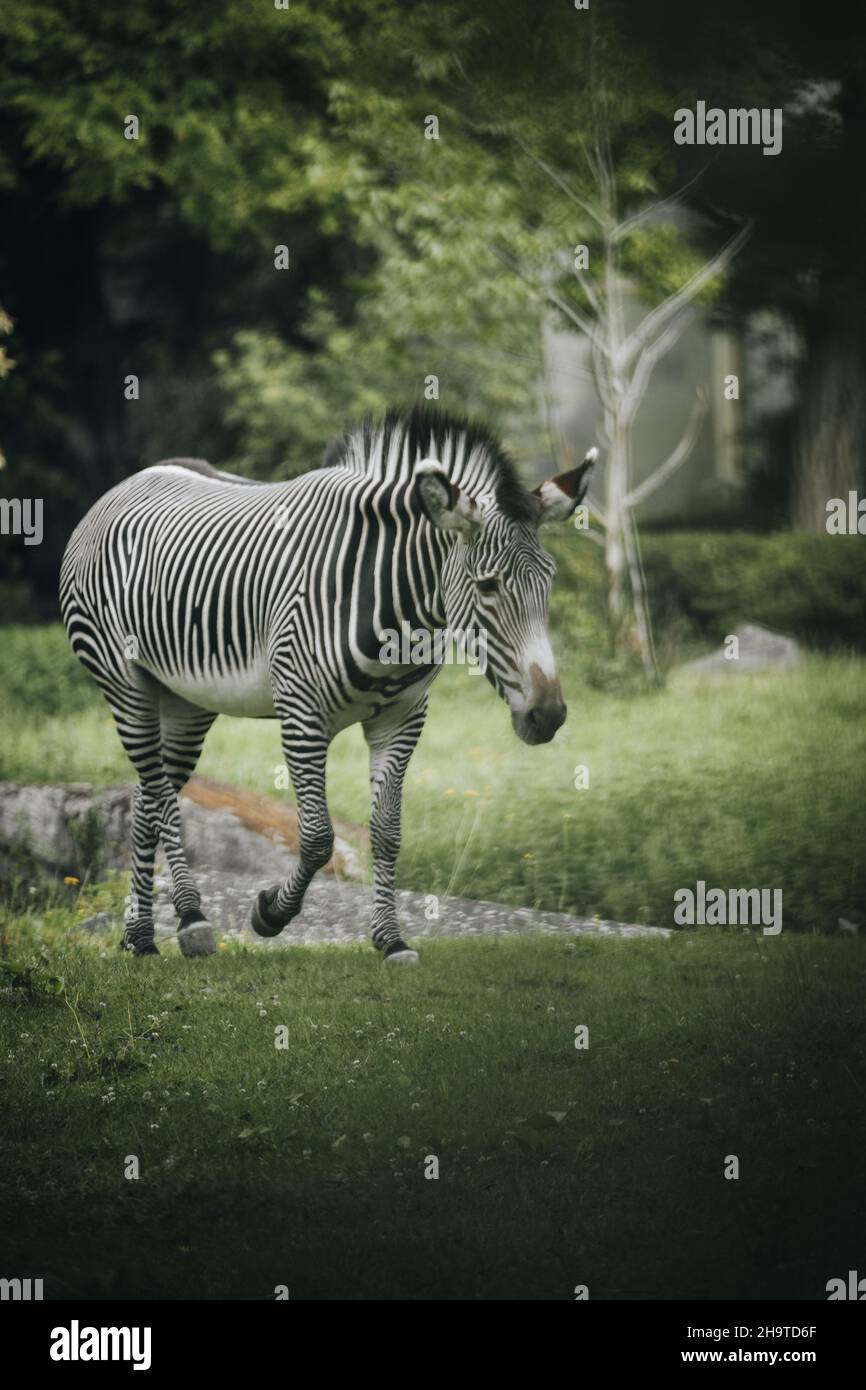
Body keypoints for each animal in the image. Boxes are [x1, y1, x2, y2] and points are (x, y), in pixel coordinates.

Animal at [60, 407, 596, 963]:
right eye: (488, 586)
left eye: (550, 580)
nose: (549, 714)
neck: (389, 604)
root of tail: (128, 482)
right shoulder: (300, 712)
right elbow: (318, 837)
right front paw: (271, 912)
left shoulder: (403, 718)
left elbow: (387, 833)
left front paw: (390, 939)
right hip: (124, 682)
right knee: (163, 796)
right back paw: (191, 919)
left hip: (187, 700)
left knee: (147, 796)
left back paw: (139, 937)